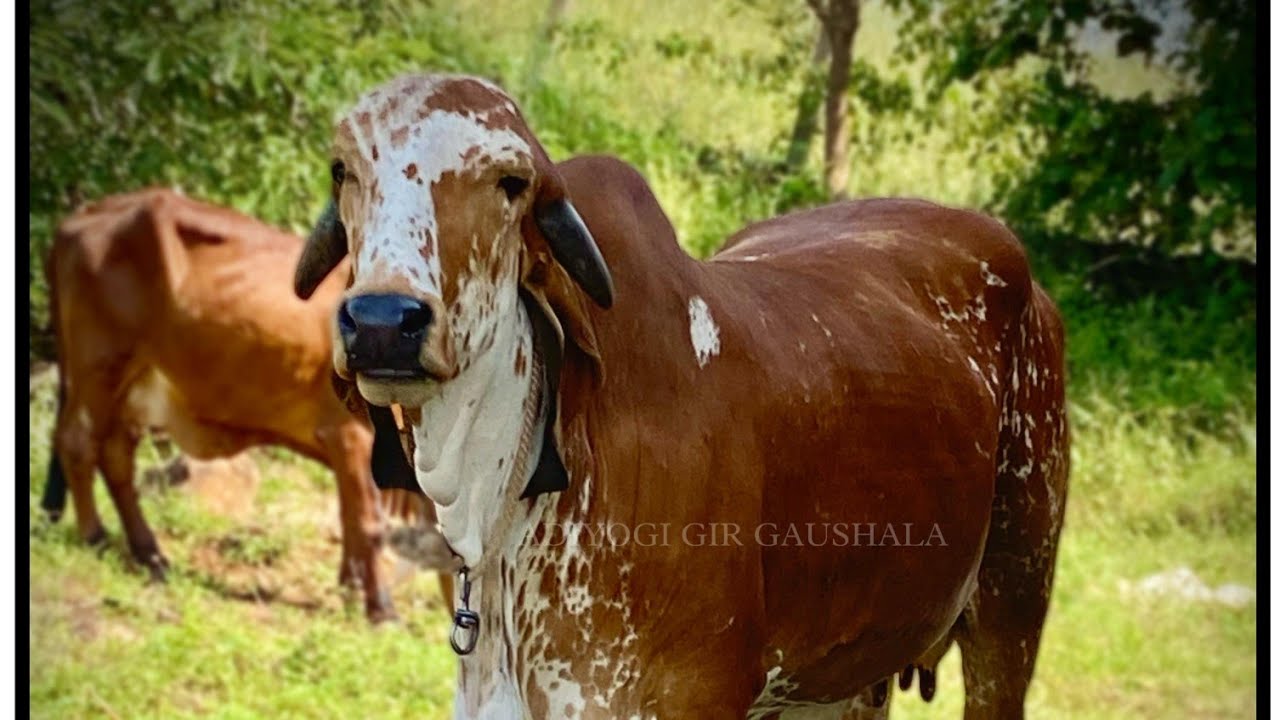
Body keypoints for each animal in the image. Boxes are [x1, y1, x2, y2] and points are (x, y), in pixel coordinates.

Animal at [41, 189, 456, 622]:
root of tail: (78, 219)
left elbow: (351, 522)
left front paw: (351, 585)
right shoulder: (351, 436)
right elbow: (368, 524)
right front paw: (380, 608)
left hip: (131, 388)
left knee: (116, 459)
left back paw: (150, 553)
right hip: (98, 368)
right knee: (77, 443)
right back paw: (97, 537)